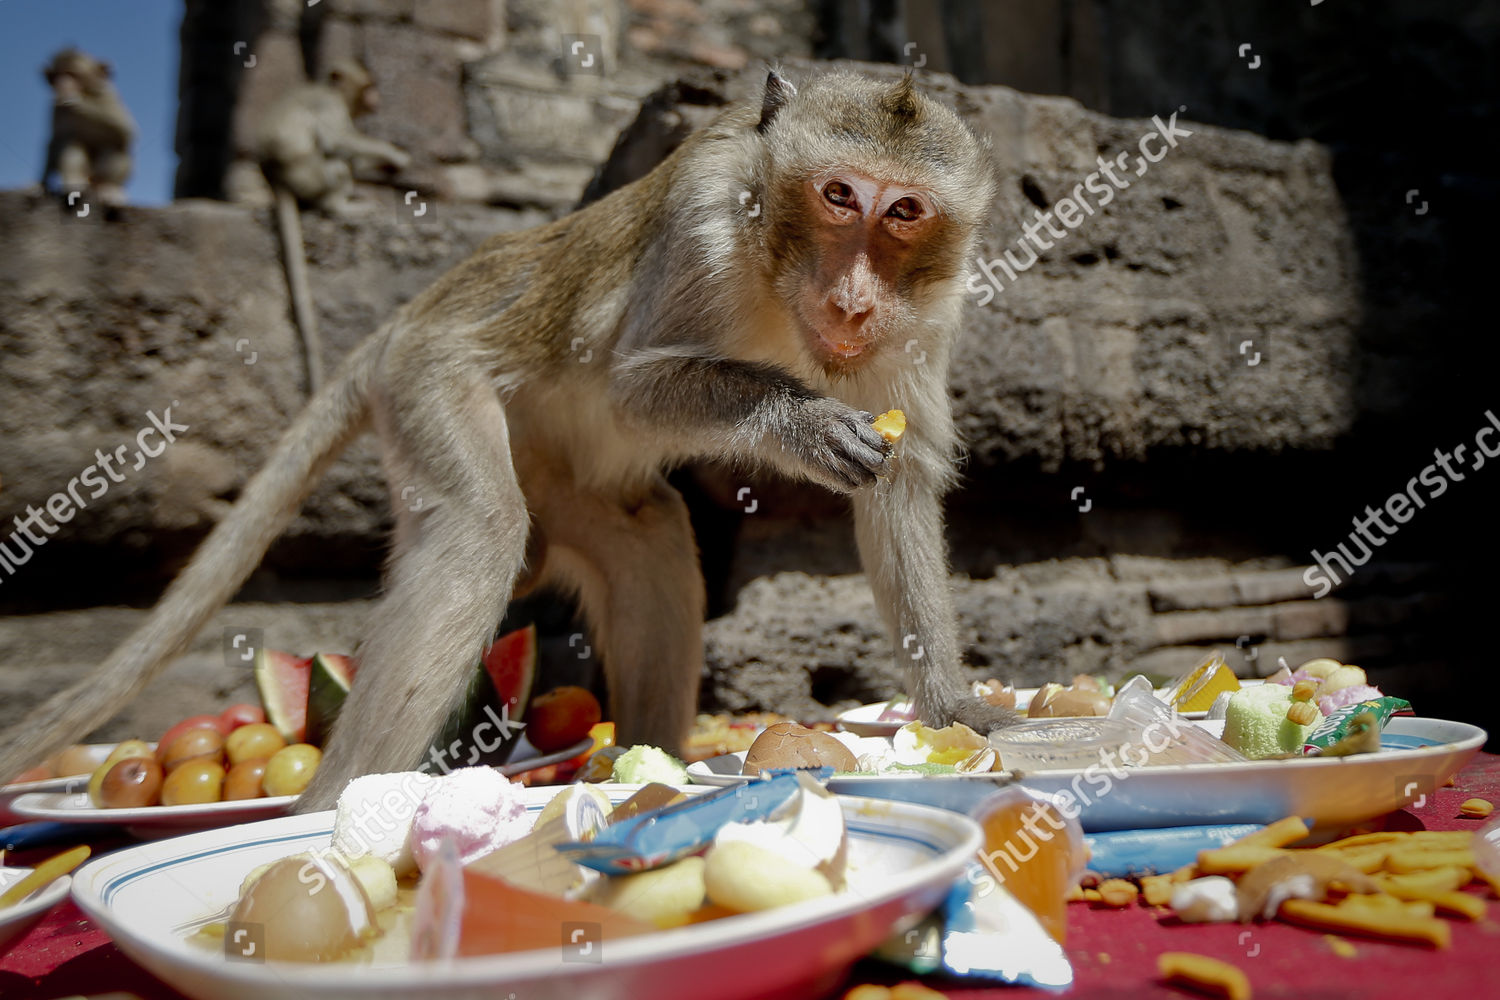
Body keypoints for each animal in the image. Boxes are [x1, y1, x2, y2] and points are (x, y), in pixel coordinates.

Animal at [40, 48, 135, 208]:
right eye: (57, 76)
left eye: (72, 74)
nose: (62, 84)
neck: (87, 94)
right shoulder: (54, 109)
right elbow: (56, 140)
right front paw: (43, 181)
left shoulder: (108, 95)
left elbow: (124, 131)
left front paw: (72, 101)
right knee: (71, 141)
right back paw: (75, 184)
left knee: (114, 143)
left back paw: (108, 187)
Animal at [255, 59, 410, 393]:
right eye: (368, 86)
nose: (376, 97)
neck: (332, 89)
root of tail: (275, 177)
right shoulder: (329, 104)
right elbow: (337, 139)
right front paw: (394, 154)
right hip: (309, 175)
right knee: (335, 158)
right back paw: (342, 205)